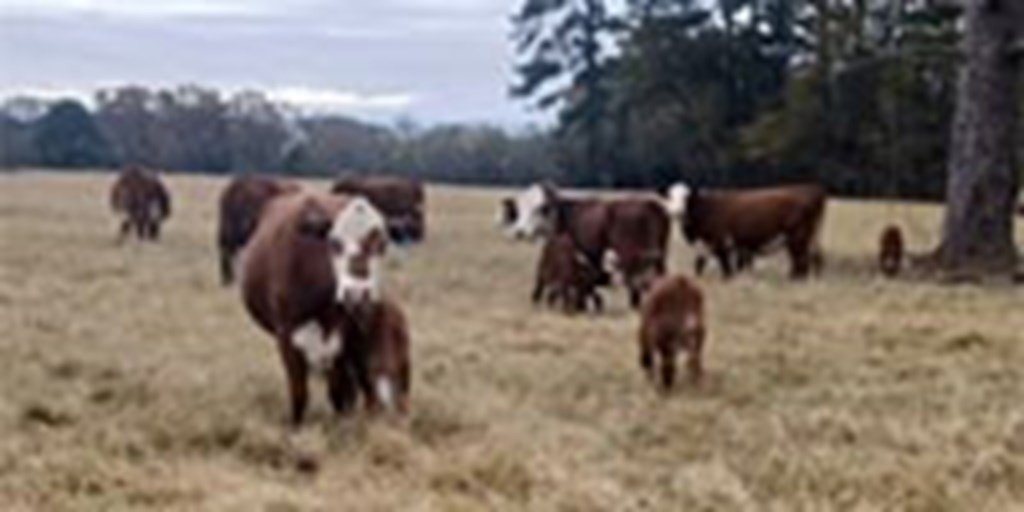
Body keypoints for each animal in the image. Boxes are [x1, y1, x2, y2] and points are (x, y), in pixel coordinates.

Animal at [240, 191, 406, 425]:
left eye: (382, 245)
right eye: (335, 243)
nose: (357, 292)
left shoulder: (343, 339)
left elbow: (339, 392)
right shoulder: (286, 337)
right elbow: (299, 391)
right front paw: (296, 428)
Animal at [501, 183, 670, 308]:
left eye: (539, 209)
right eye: (519, 209)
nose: (520, 232)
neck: (563, 215)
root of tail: (651, 204)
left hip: (631, 255)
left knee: (636, 280)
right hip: (659, 256)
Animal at [666, 182, 827, 279]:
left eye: (687, 197)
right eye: (670, 196)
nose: (676, 212)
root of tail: (811, 188)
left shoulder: (721, 242)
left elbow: (726, 266)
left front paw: (728, 280)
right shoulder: (704, 247)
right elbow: (699, 264)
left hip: (797, 237)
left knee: (801, 260)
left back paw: (796, 280)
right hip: (807, 238)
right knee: (809, 259)